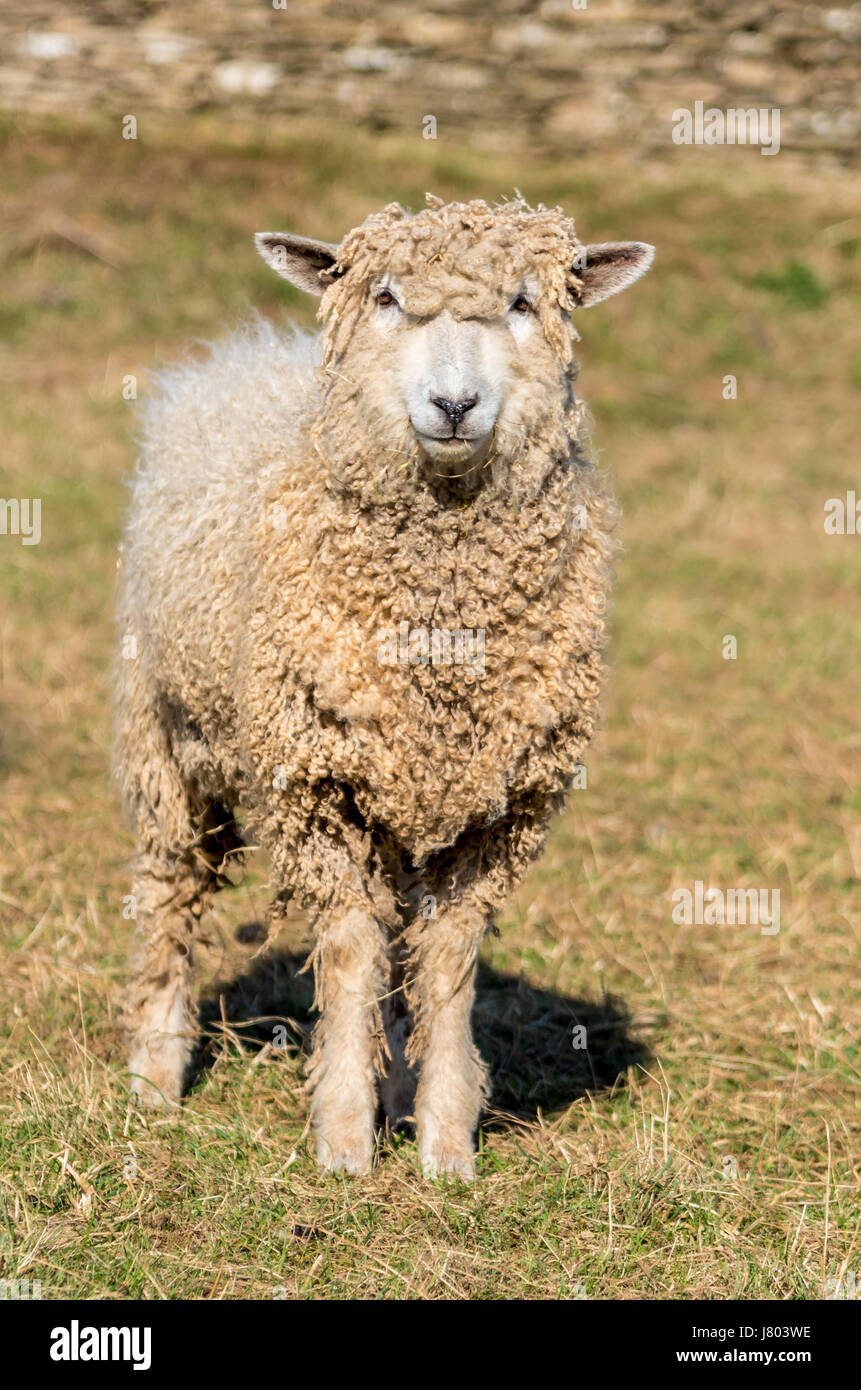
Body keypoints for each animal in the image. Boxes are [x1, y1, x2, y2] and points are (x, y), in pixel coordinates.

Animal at [115, 195, 653, 1178]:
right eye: (388, 298)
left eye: (523, 302)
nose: (453, 405)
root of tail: (256, 348)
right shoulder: (315, 783)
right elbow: (352, 952)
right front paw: (342, 1139)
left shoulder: (498, 806)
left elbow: (443, 963)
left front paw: (443, 1142)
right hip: (167, 734)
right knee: (171, 890)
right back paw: (154, 1075)